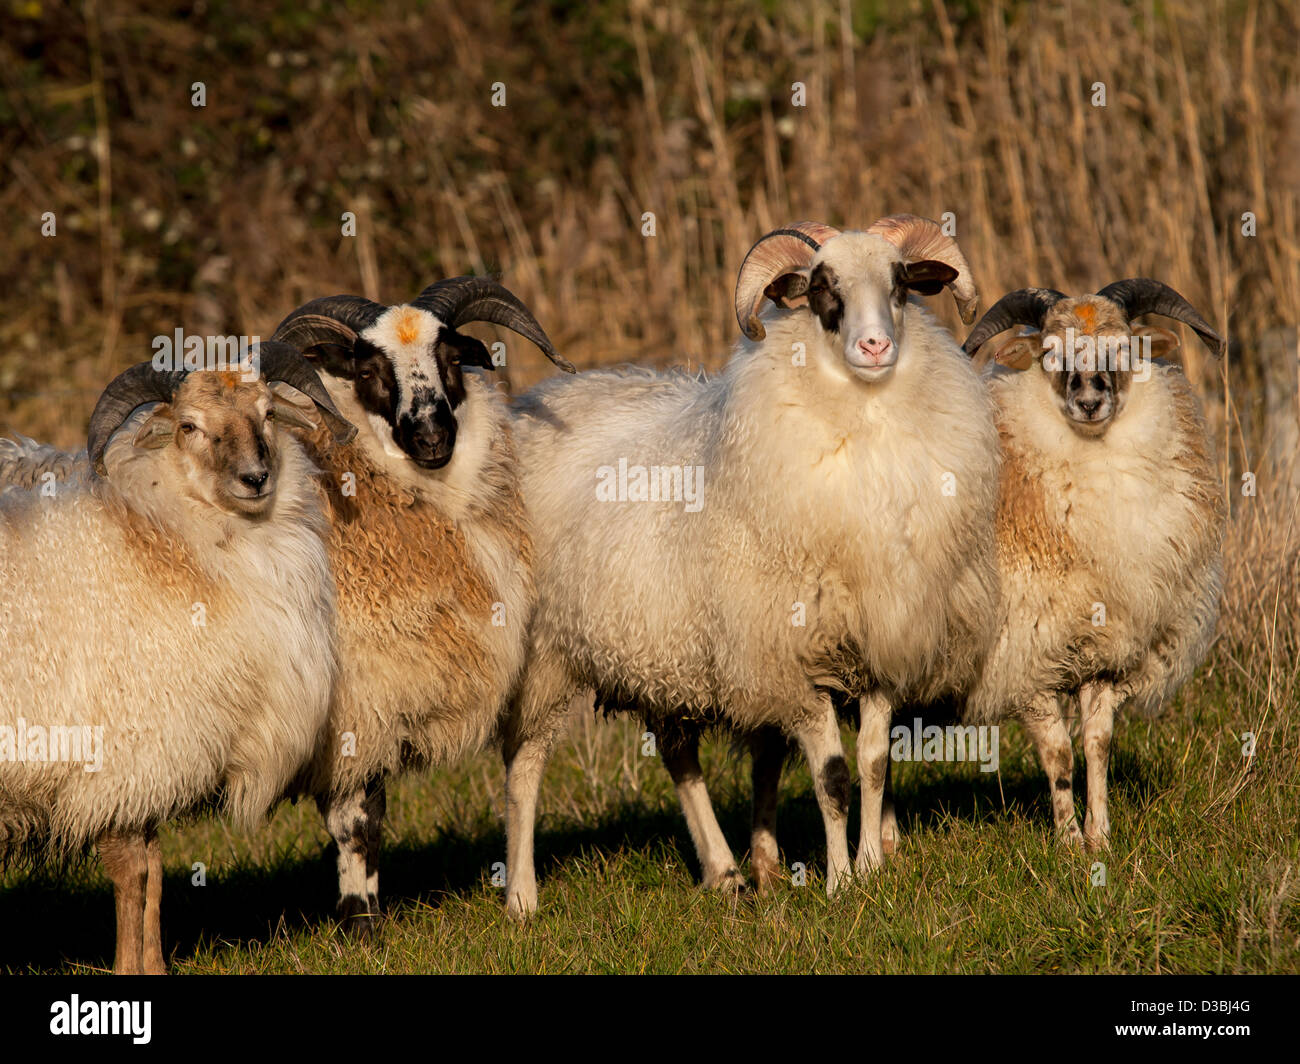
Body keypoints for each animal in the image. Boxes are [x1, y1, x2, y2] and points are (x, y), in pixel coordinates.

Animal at [0, 344, 355, 973]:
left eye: (268, 413)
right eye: (188, 427)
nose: (255, 478)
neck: (163, 544)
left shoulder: (151, 768)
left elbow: (154, 873)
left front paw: (155, 967)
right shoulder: (119, 764)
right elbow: (129, 873)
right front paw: (126, 969)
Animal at [266, 276, 572, 930]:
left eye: (453, 358)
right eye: (370, 371)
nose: (432, 436)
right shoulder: (359, 705)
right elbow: (358, 821)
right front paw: (361, 923)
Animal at [501, 215, 1003, 916]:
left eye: (902, 283)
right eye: (821, 288)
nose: (875, 346)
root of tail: (540, 401)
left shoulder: (879, 642)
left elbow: (873, 762)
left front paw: (872, 868)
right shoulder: (791, 657)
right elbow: (832, 776)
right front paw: (840, 882)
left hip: (665, 653)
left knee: (680, 759)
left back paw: (727, 872)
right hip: (545, 658)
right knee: (524, 769)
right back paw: (521, 897)